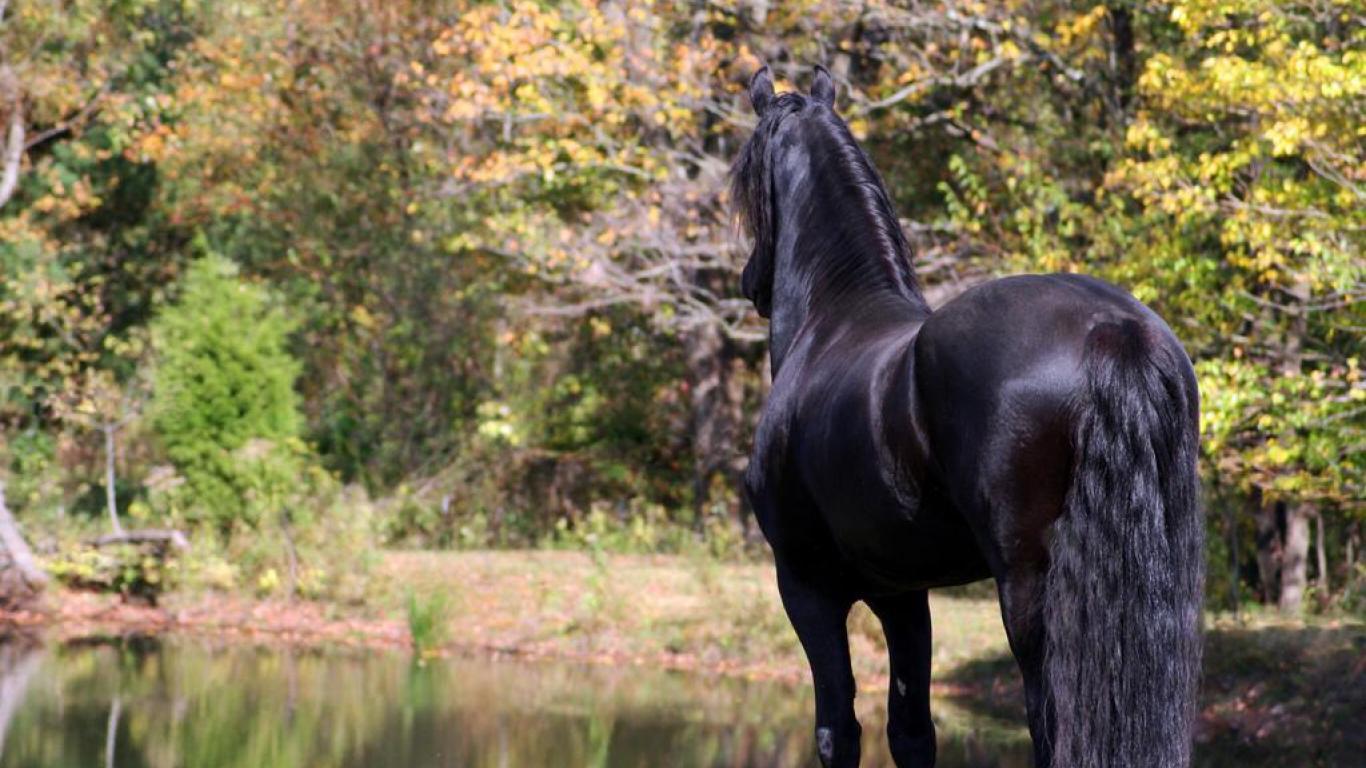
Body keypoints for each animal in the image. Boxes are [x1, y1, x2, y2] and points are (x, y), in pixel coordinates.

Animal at [731, 65, 1204, 768]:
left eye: (745, 176)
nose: (751, 281)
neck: (832, 321)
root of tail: (1113, 330)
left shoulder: (806, 584)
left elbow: (837, 730)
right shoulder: (900, 592)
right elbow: (911, 731)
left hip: (1032, 594)